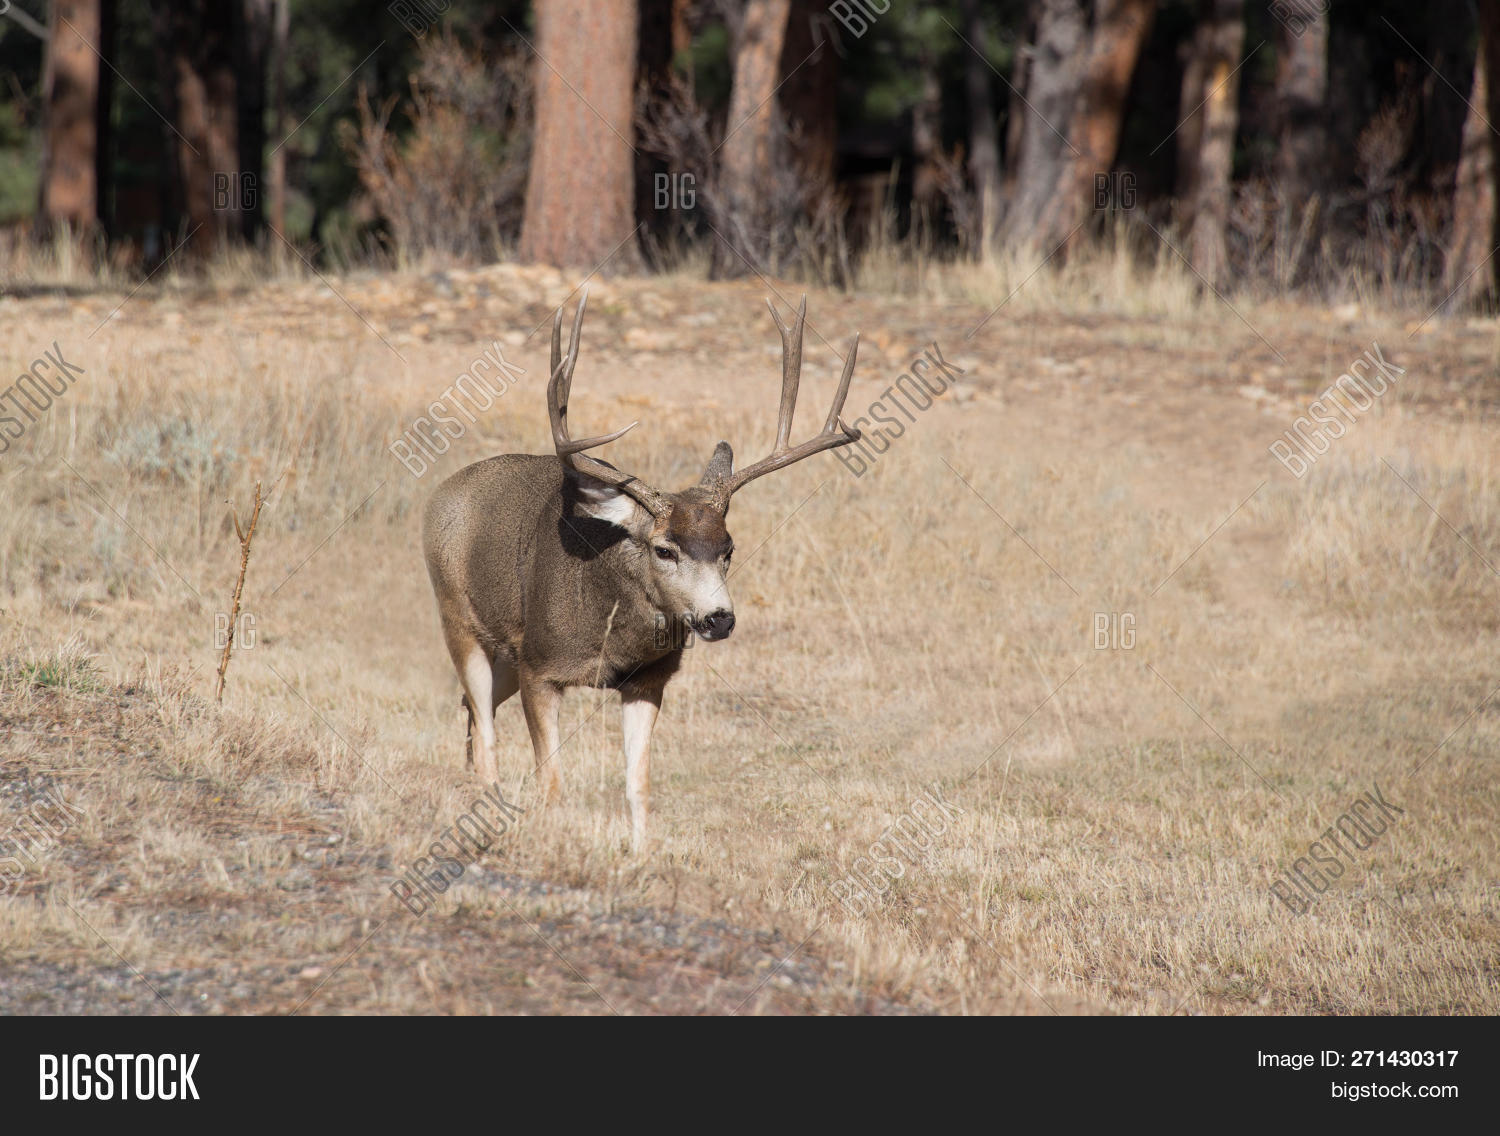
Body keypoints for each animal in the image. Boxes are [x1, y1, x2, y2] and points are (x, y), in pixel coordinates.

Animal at [422, 290, 862, 850]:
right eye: (664, 549)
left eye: (729, 548)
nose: (719, 618)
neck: (610, 630)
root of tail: (441, 492)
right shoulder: (539, 666)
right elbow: (553, 782)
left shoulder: (647, 680)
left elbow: (638, 785)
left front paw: (641, 854)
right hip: (458, 619)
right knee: (484, 729)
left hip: (503, 660)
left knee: (471, 715)